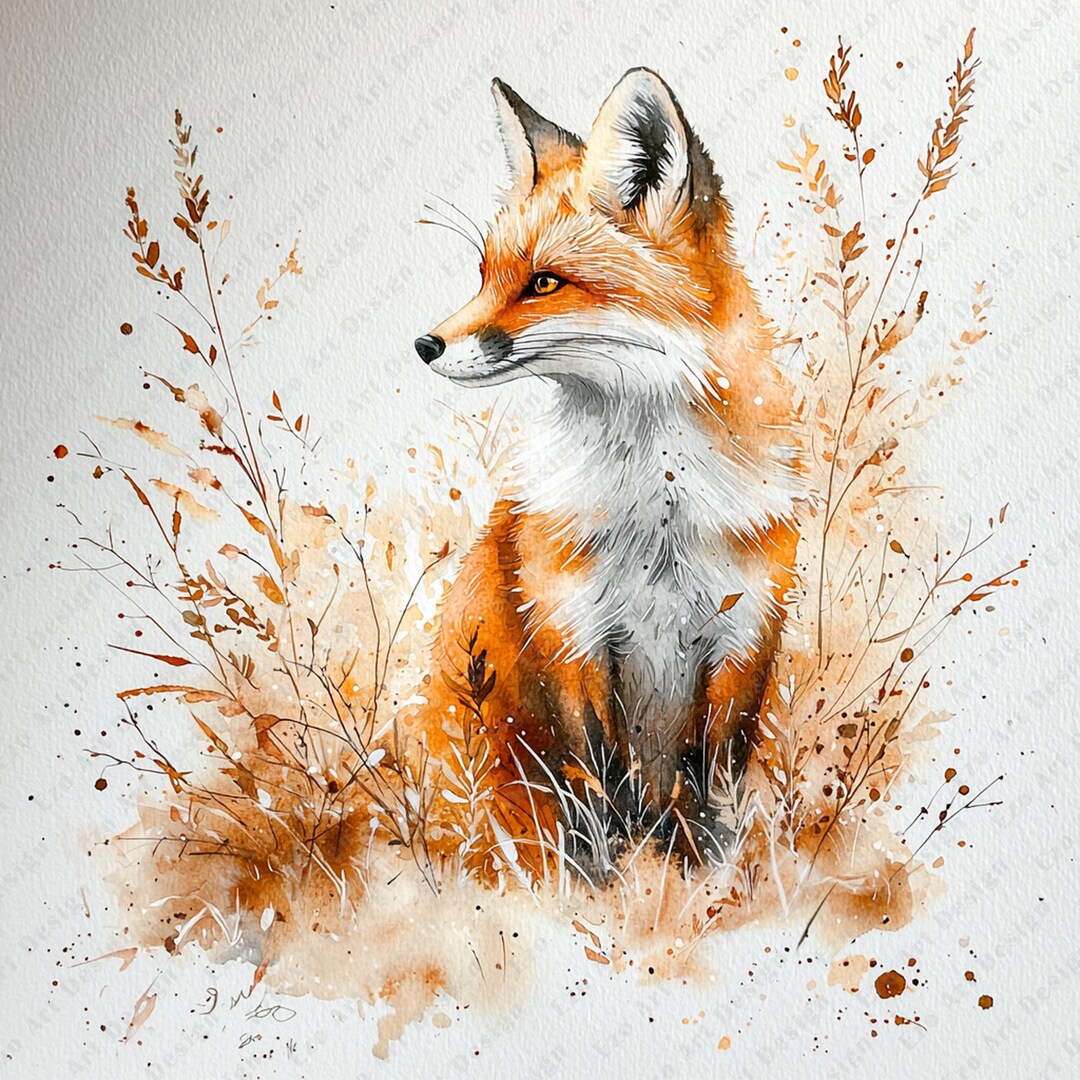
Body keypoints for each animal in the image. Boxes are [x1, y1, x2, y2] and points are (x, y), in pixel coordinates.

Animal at [415, 69, 804, 863]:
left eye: (544, 283)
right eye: (484, 274)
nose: (425, 345)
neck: (659, 514)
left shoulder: (743, 643)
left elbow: (712, 793)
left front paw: (708, 878)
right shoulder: (569, 637)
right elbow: (596, 794)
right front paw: (616, 881)